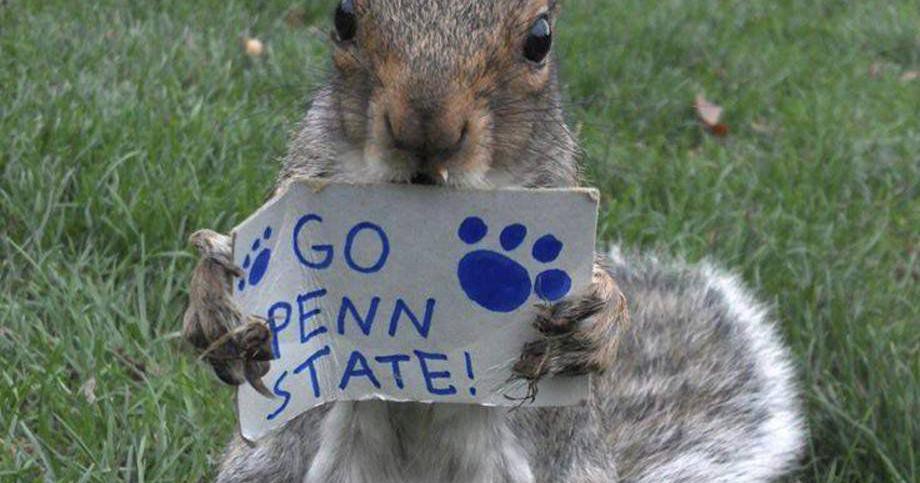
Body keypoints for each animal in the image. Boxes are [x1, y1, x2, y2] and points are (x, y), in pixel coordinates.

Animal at [183, 1, 805, 481]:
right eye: (342, 18)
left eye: (540, 38)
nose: (425, 128)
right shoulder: (303, 178)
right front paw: (218, 297)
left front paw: (599, 315)